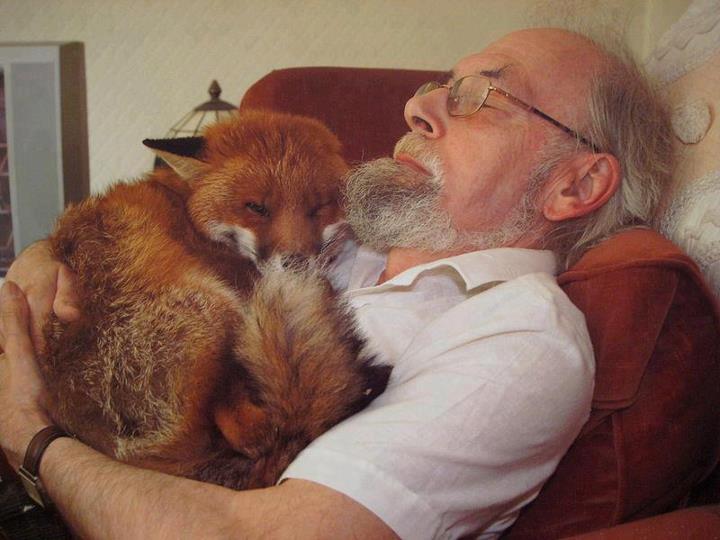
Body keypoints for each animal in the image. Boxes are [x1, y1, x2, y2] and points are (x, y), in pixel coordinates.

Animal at [39, 109, 390, 490]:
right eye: (256, 207)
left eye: (318, 207)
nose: (296, 264)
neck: (187, 209)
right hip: (218, 308)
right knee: (250, 425)